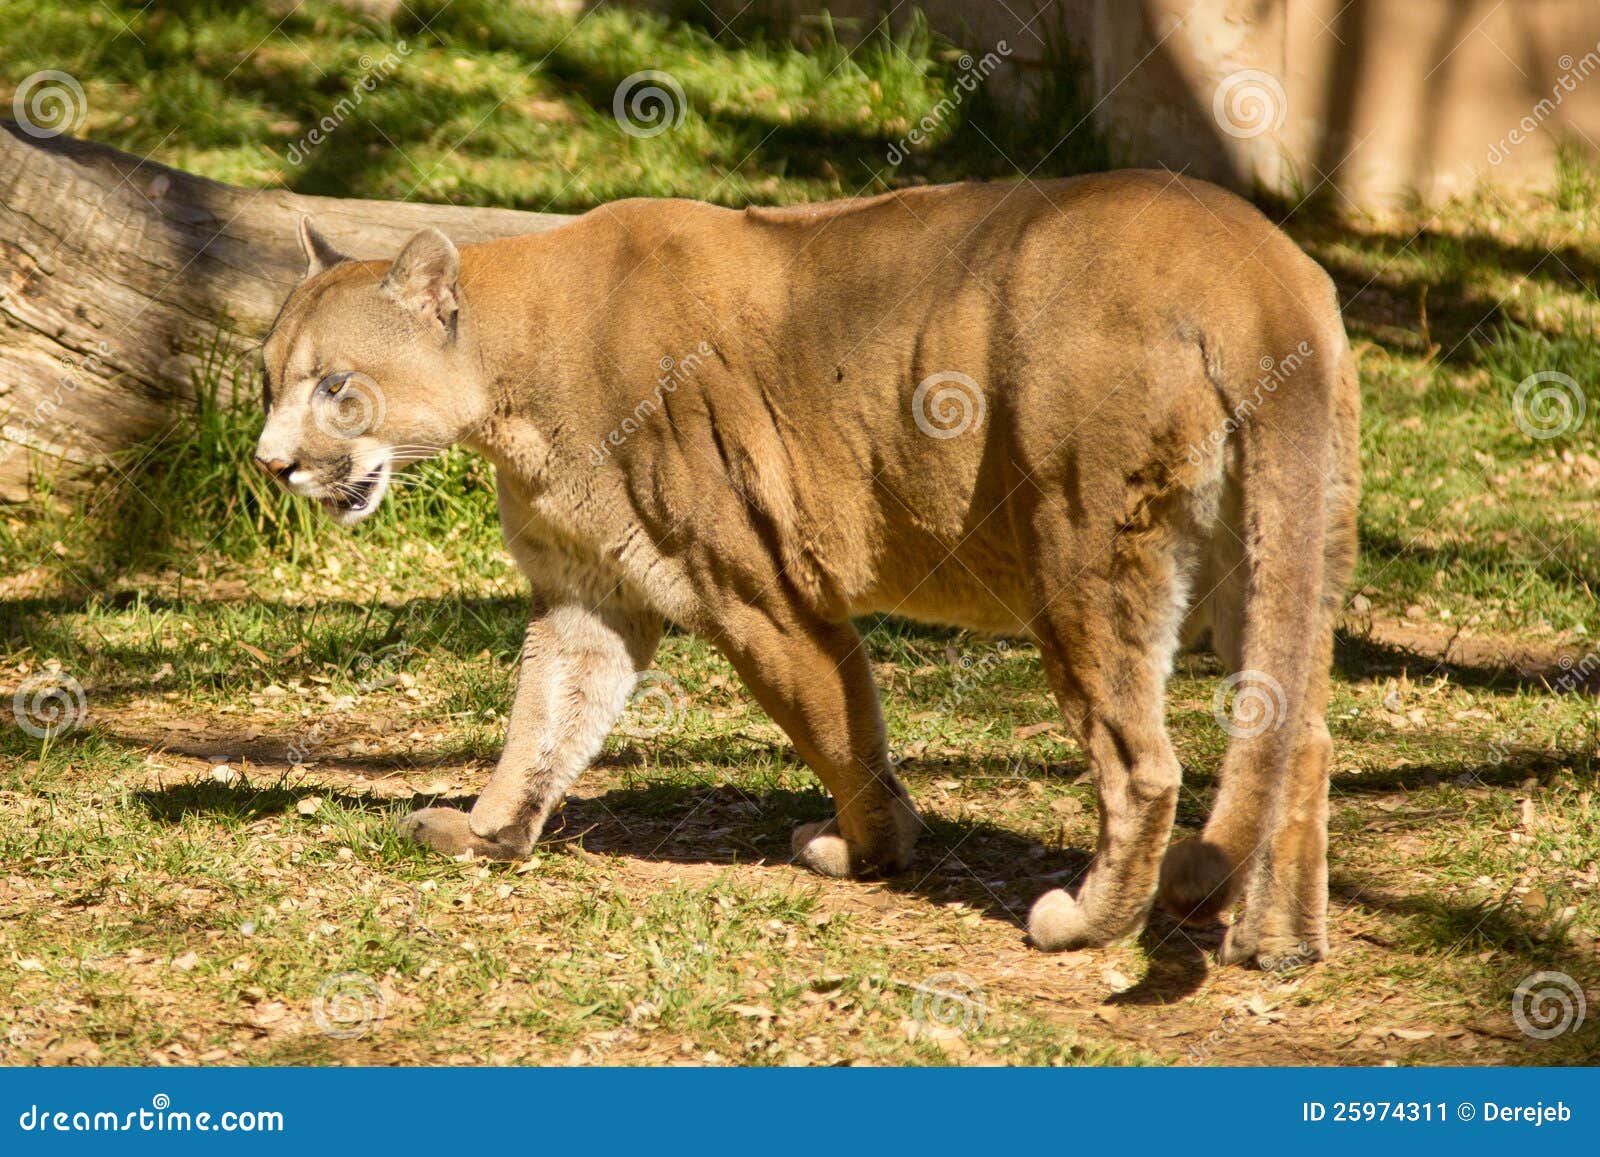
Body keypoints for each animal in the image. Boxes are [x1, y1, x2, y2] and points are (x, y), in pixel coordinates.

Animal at [255, 171, 1359, 966]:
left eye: (337, 383)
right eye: (267, 382)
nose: (271, 463)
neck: (510, 378)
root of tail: (1252, 264)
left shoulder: (756, 593)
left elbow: (839, 731)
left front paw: (870, 851)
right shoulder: (588, 595)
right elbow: (543, 723)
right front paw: (489, 835)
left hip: (1081, 551)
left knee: (1145, 763)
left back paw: (1084, 922)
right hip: (1277, 552)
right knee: (1296, 729)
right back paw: (1281, 942)